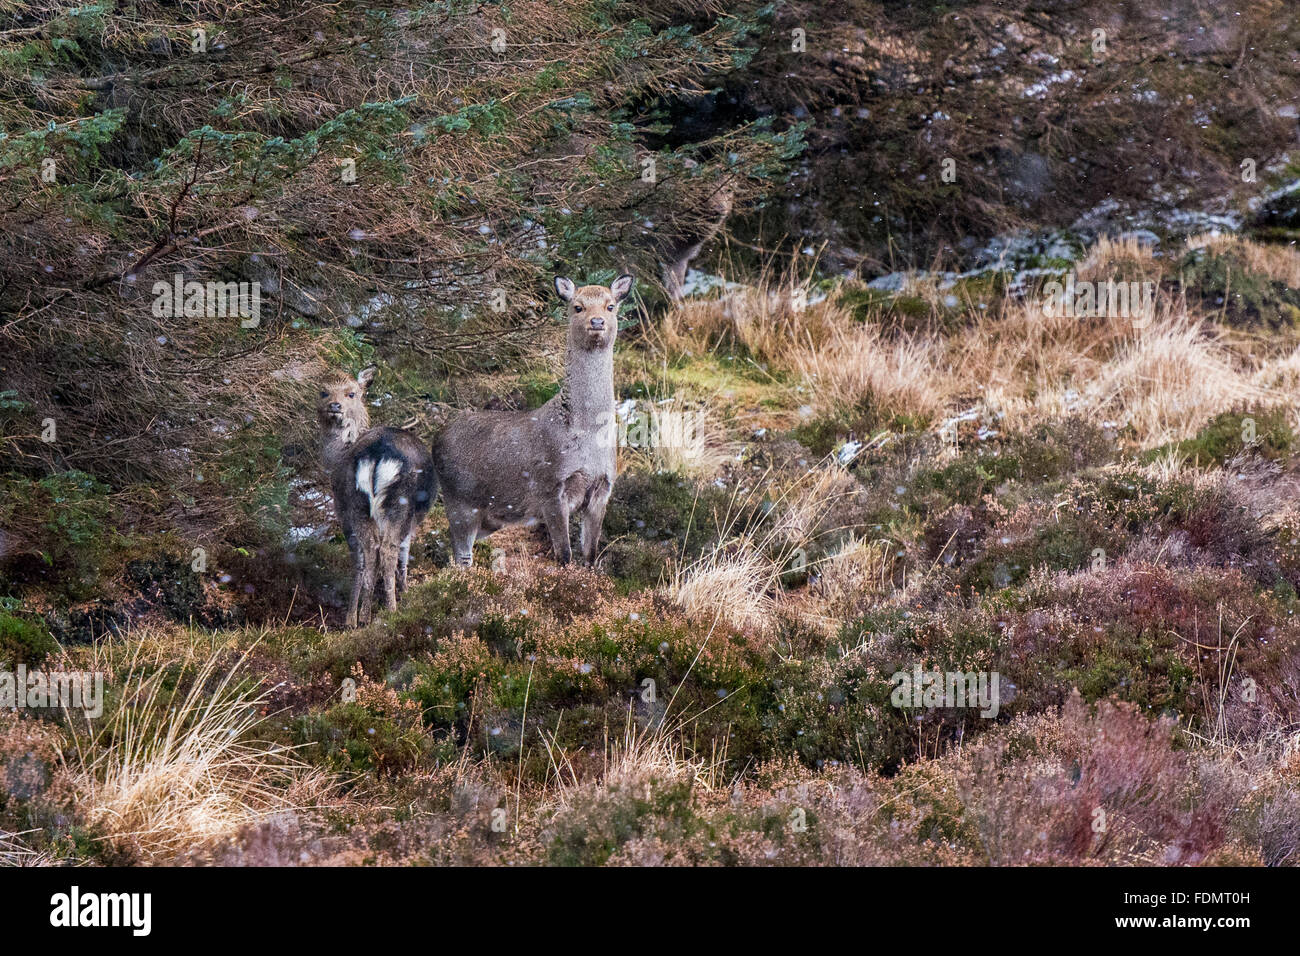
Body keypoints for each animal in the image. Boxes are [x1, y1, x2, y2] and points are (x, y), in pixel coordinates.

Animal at [316, 367, 436, 627]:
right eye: (323, 391)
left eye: (351, 393)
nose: (334, 405)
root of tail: (377, 454)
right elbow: (402, 551)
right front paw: (405, 592)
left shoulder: (344, 509)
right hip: (395, 503)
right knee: (384, 550)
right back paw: (383, 612)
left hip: (359, 504)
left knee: (371, 550)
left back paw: (361, 616)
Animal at [431, 274, 633, 568]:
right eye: (578, 307)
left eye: (610, 306)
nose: (597, 322)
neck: (586, 433)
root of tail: (435, 439)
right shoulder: (550, 486)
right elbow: (564, 555)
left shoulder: (603, 487)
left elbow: (591, 555)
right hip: (458, 501)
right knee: (459, 556)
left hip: (487, 518)